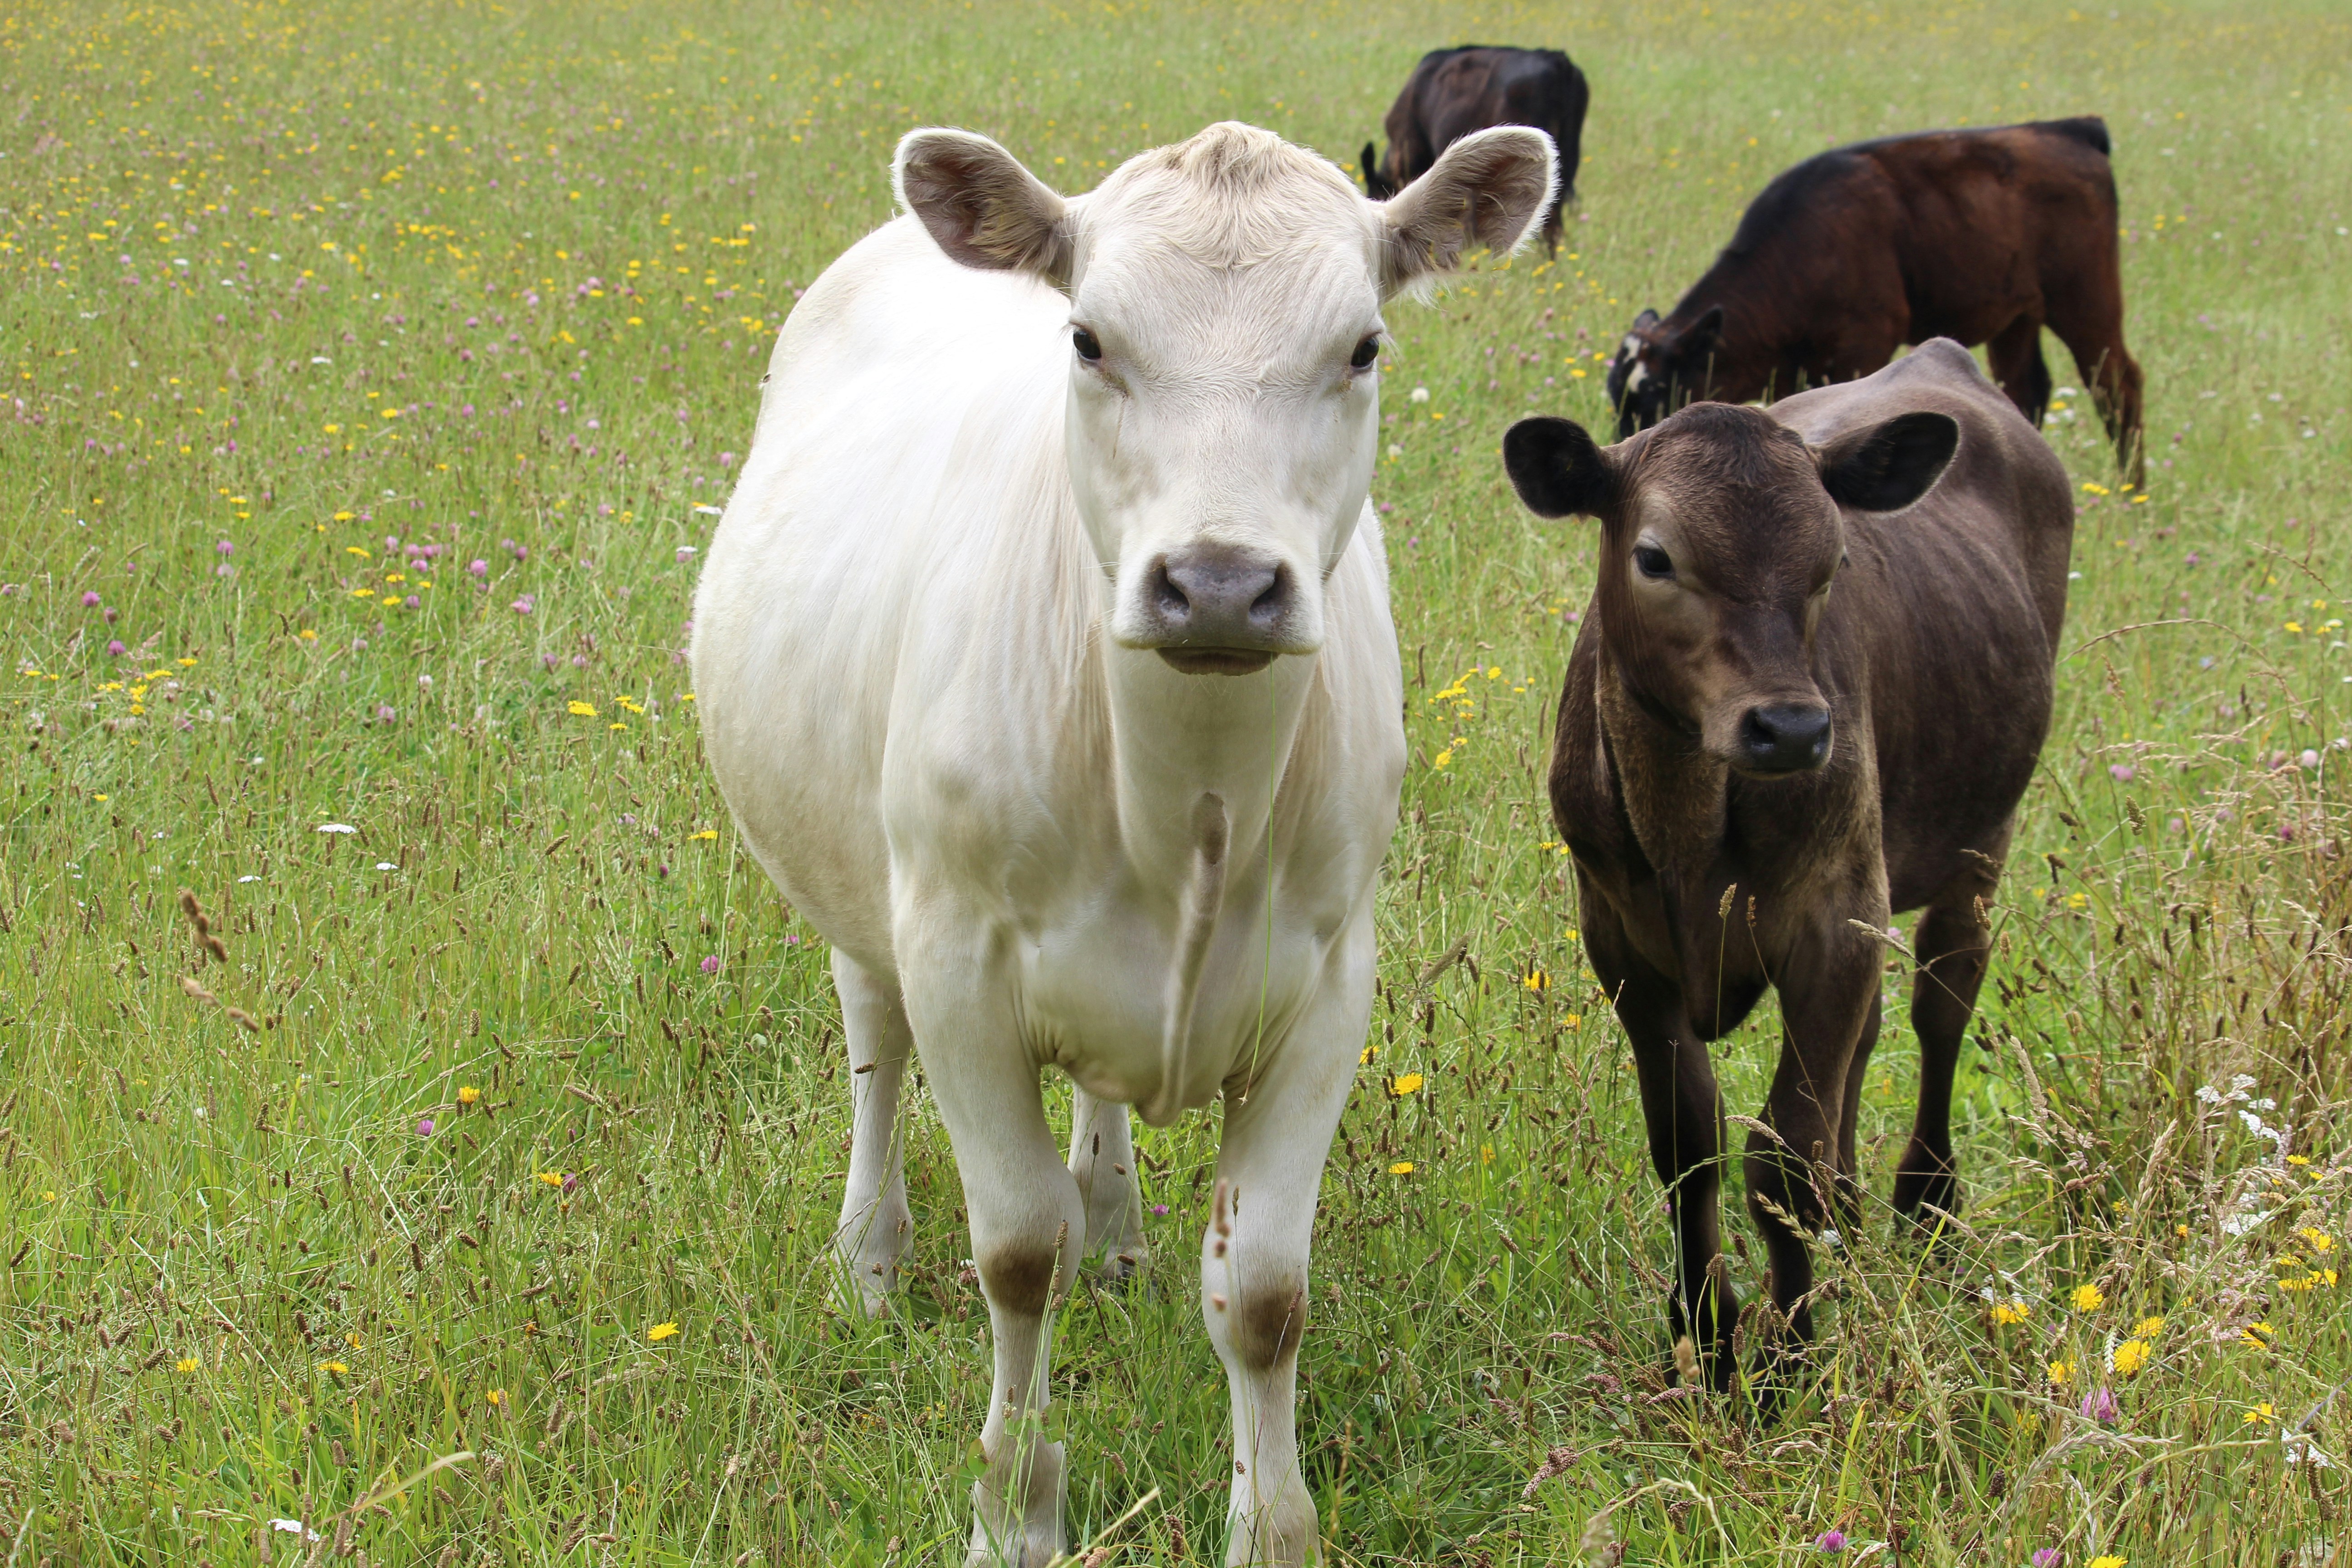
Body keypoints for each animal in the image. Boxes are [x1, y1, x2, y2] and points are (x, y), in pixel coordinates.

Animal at [693, 121, 1557, 1565]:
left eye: (1364, 346)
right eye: (1091, 340)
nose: (1216, 583)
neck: (1182, 804)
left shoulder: (1328, 984)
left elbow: (1262, 1290)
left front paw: (1272, 1526)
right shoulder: (959, 966)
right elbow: (1014, 1254)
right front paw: (1011, 1511)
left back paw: (1116, 1228)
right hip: (857, 887)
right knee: (873, 1052)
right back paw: (870, 1258)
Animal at [1500, 339, 2071, 1399]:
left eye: (1833, 561)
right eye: (1654, 557)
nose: (1794, 728)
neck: (1688, 824)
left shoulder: (1832, 916)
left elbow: (1782, 1154)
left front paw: (1792, 1354)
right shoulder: (1621, 941)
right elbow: (1688, 1144)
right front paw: (1703, 1337)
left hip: (1983, 834)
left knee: (1941, 1002)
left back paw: (1924, 1204)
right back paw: (1850, 1210)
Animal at [1606, 118, 2144, 485]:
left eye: (1658, 395)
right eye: (1616, 397)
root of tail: (2068, 130)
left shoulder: (1862, 347)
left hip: (2086, 305)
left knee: (2120, 385)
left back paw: (2131, 490)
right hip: (2016, 321)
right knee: (2029, 390)